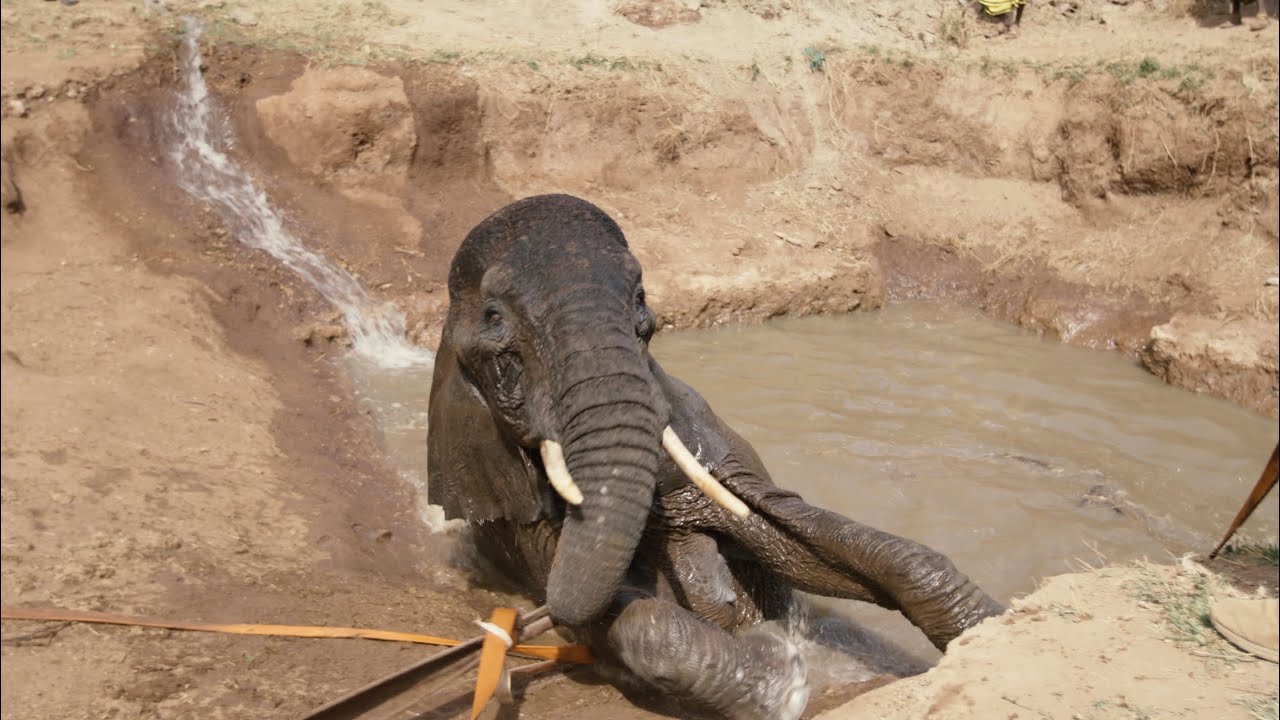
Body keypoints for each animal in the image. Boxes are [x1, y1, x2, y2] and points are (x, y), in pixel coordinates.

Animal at [427, 194, 1004, 720]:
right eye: (493, 317)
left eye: (640, 299)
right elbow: (625, 615)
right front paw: (782, 673)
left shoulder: (708, 438)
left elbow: (808, 536)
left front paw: (990, 626)